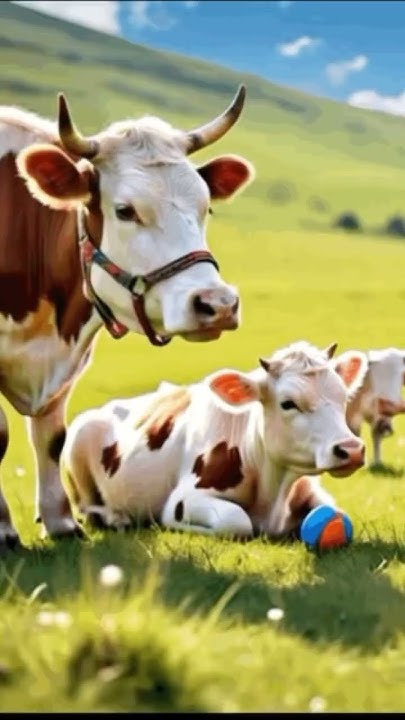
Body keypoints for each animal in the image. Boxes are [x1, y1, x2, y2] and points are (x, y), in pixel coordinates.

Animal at [0, 86, 254, 549]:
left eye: (206, 207)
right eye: (125, 210)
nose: (218, 304)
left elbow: (53, 438)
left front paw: (61, 522)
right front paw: (3, 530)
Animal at [61, 341, 367, 539]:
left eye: (343, 396)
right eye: (288, 403)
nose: (351, 449)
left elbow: (334, 510)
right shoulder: (184, 498)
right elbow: (237, 521)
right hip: (78, 440)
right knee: (87, 506)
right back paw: (116, 517)